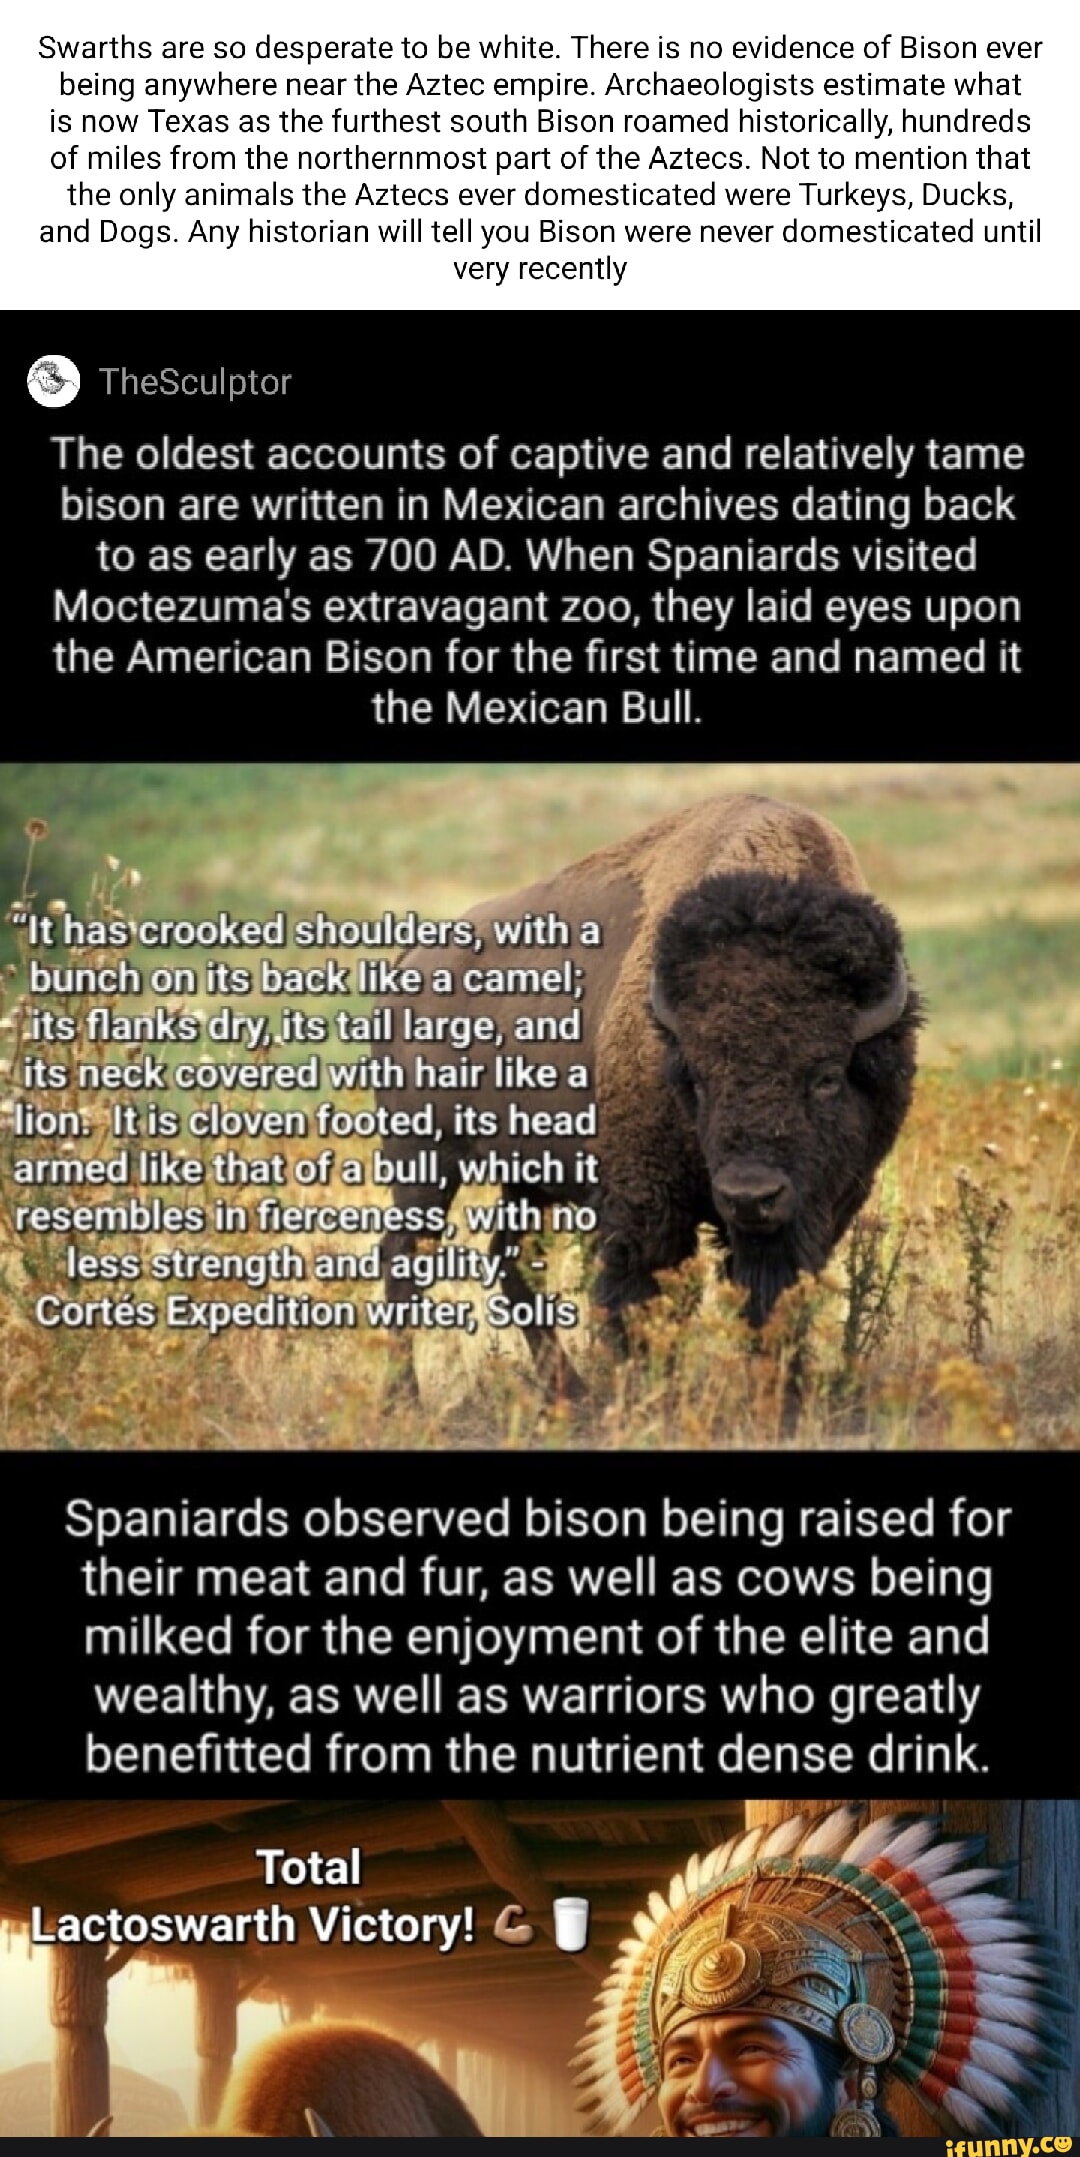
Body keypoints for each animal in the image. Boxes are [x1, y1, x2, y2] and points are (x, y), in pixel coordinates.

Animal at [377, 793, 919, 1357]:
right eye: (696, 1079)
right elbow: (639, 1301)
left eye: (828, 1077)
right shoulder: (644, 1208)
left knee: (510, 1258)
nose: (750, 1196)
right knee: (404, 1258)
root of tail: (409, 962)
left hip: (525, 1177)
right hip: (424, 1156)